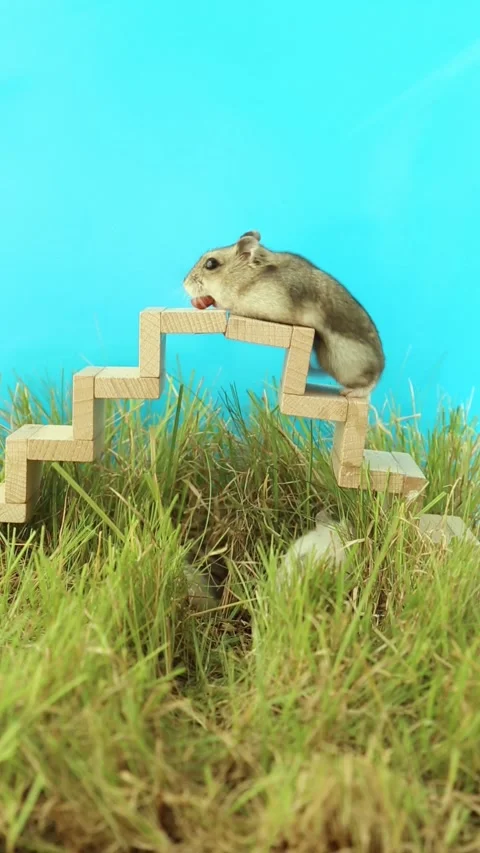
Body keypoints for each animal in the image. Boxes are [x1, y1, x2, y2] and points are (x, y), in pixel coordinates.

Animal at [183, 231, 385, 396]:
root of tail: (381, 366)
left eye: (211, 263)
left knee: (370, 384)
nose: (183, 284)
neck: (249, 278)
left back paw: (350, 393)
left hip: (344, 364)